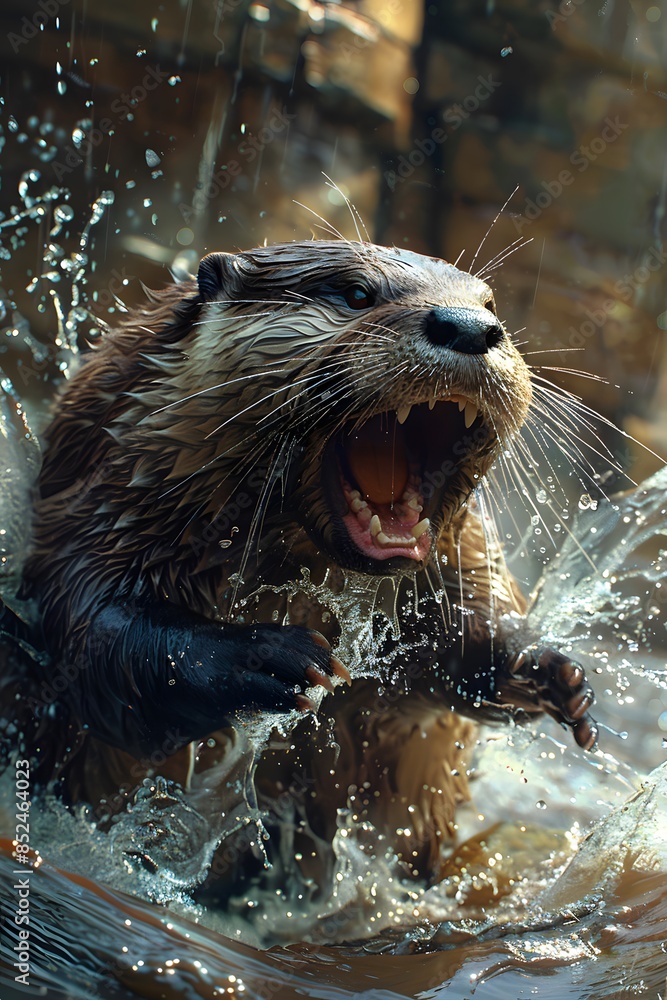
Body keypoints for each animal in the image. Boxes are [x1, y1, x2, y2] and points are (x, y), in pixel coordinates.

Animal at [15, 240, 598, 884]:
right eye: (356, 294)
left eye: (490, 306)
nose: (470, 327)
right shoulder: (100, 509)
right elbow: (100, 644)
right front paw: (273, 656)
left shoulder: (458, 555)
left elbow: (466, 636)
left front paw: (551, 672)